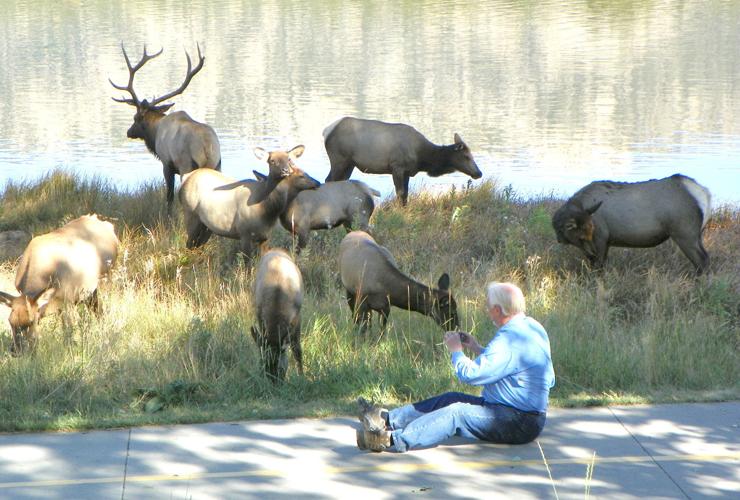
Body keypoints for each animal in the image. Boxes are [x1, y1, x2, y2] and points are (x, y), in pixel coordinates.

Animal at [109, 44, 221, 213]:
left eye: (136, 118)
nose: (129, 132)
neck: (155, 133)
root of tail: (207, 147)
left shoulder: (166, 163)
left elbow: (169, 197)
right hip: (218, 165)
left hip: (186, 165)